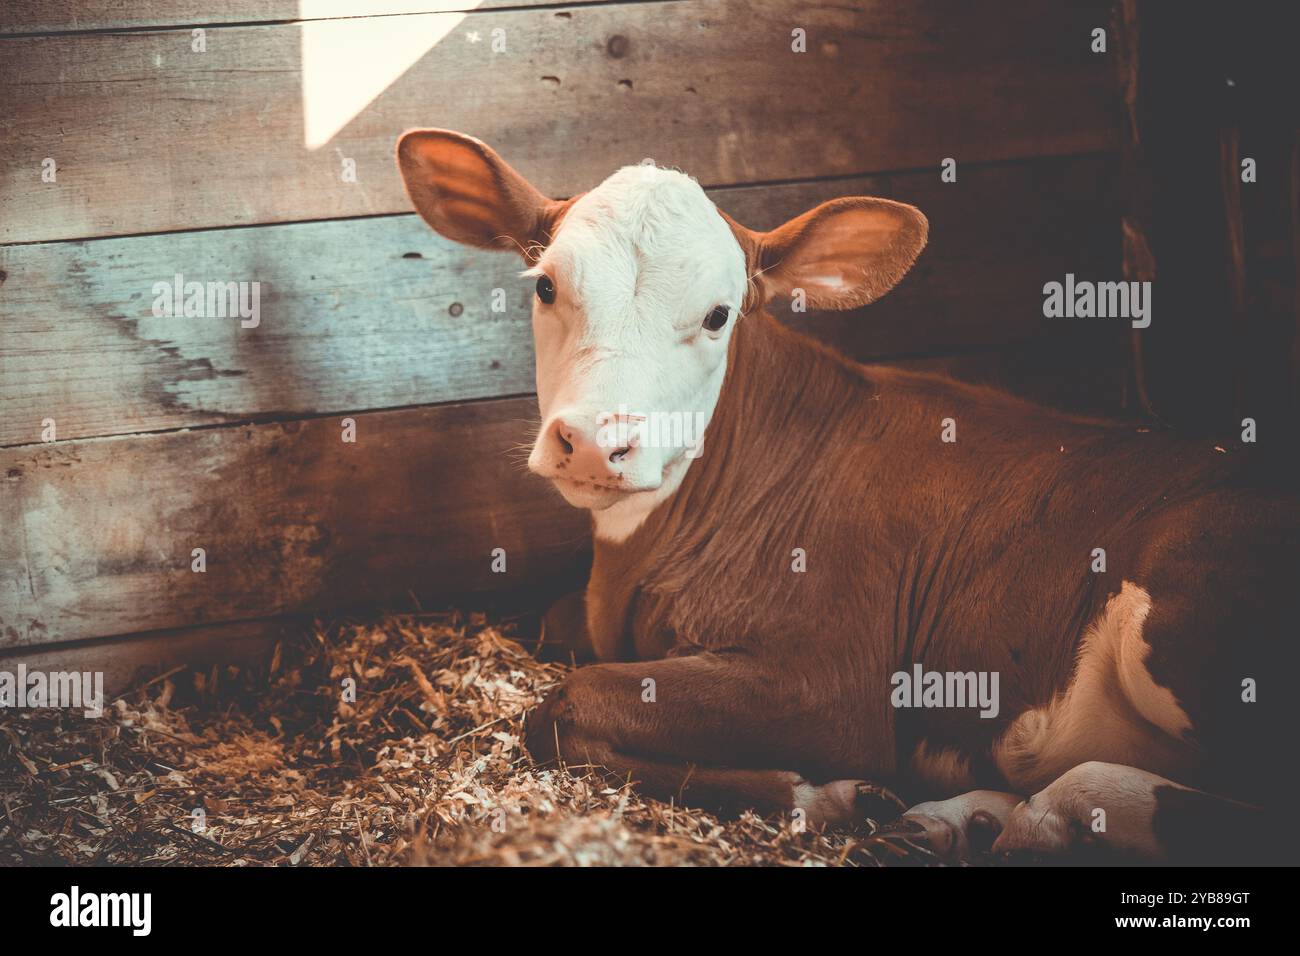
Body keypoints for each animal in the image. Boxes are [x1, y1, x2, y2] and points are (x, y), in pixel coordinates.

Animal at [397, 129, 1299, 863]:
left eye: (719, 315)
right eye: (546, 287)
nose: (592, 441)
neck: (635, 564)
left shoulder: (832, 680)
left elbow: (560, 707)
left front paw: (824, 794)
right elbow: (556, 643)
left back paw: (1052, 812)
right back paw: (966, 818)